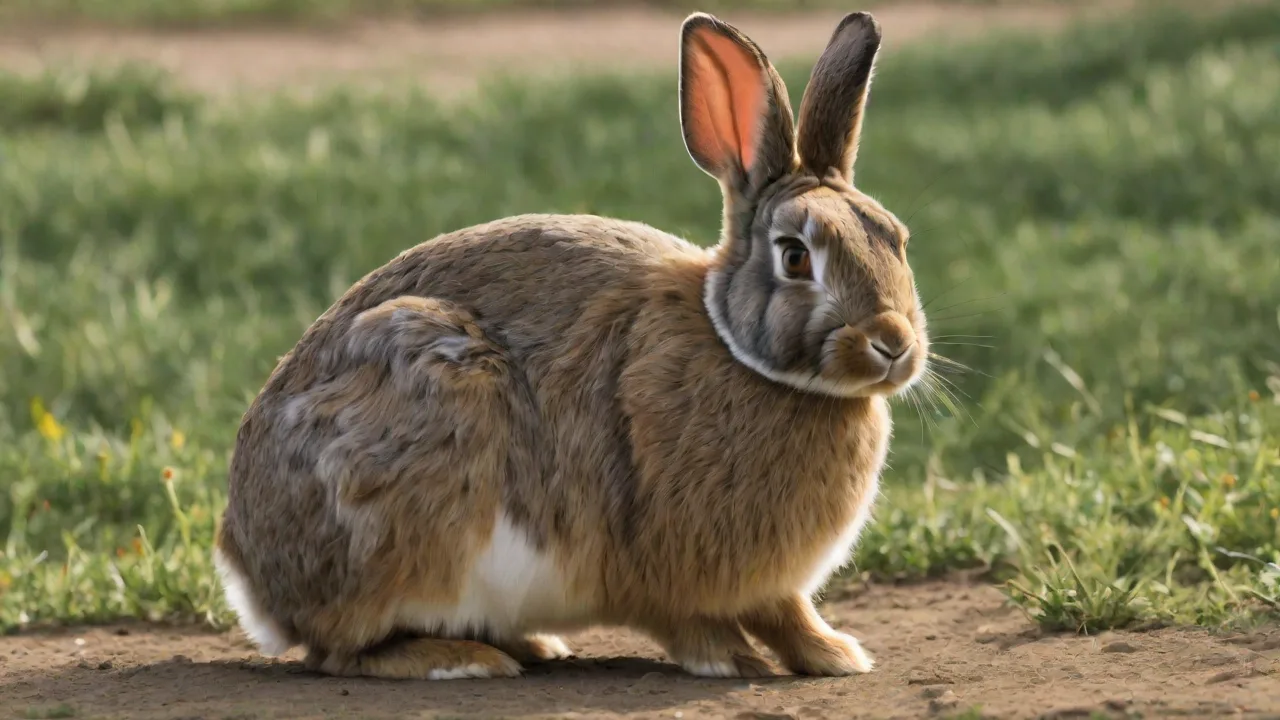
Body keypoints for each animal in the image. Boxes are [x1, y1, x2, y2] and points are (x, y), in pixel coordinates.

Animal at [214, 9, 929, 681]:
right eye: (795, 256)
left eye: (897, 238)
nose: (893, 343)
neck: (737, 349)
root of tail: (252, 576)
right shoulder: (658, 561)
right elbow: (692, 619)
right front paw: (737, 660)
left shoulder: (771, 587)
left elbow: (788, 613)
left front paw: (834, 654)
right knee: (341, 651)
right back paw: (464, 657)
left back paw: (530, 644)